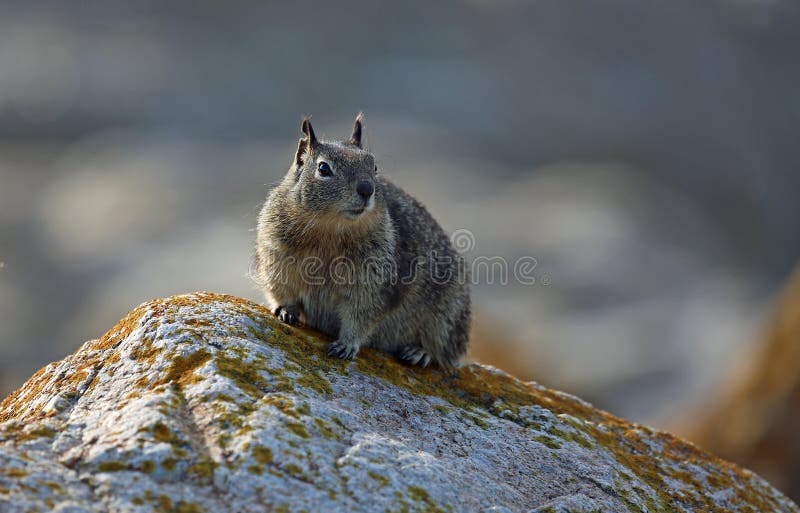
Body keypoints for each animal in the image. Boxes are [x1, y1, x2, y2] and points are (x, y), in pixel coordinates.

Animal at [254, 113, 470, 367]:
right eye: (323, 168)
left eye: (374, 166)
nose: (366, 189)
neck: (329, 231)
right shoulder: (276, 260)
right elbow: (282, 291)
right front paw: (286, 311)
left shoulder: (372, 284)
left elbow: (360, 317)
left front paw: (346, 345)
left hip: (446, 319)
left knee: (444, 354)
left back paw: (419, 353)